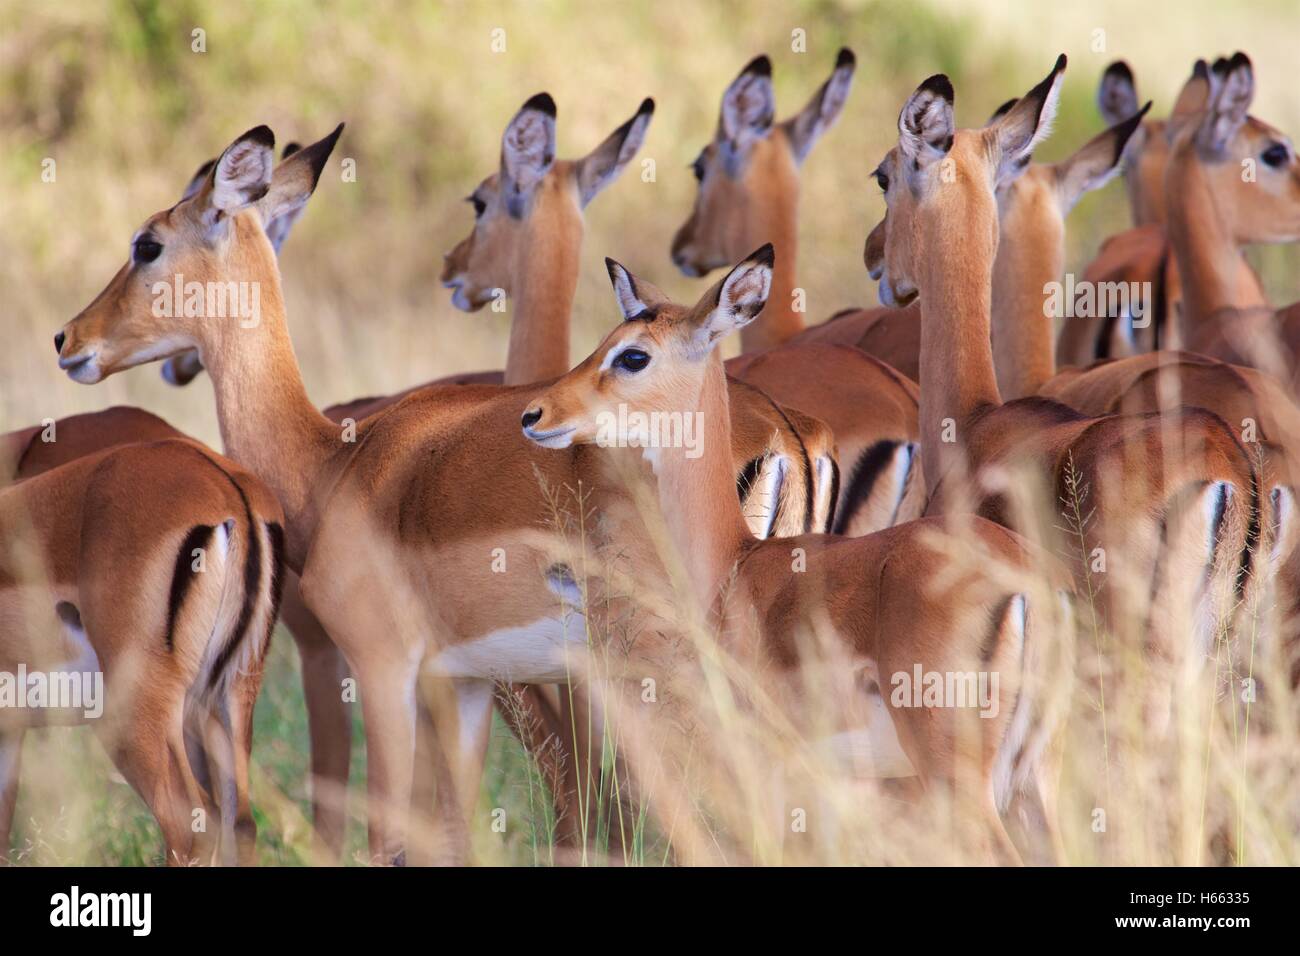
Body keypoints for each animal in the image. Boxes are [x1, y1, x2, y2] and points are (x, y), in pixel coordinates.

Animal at [519, 246, 1074, 864]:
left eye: (633, 355)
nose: (535, 414)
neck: (733, 563)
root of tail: (1029, 585)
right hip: (1032, 780)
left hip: (961, 780)